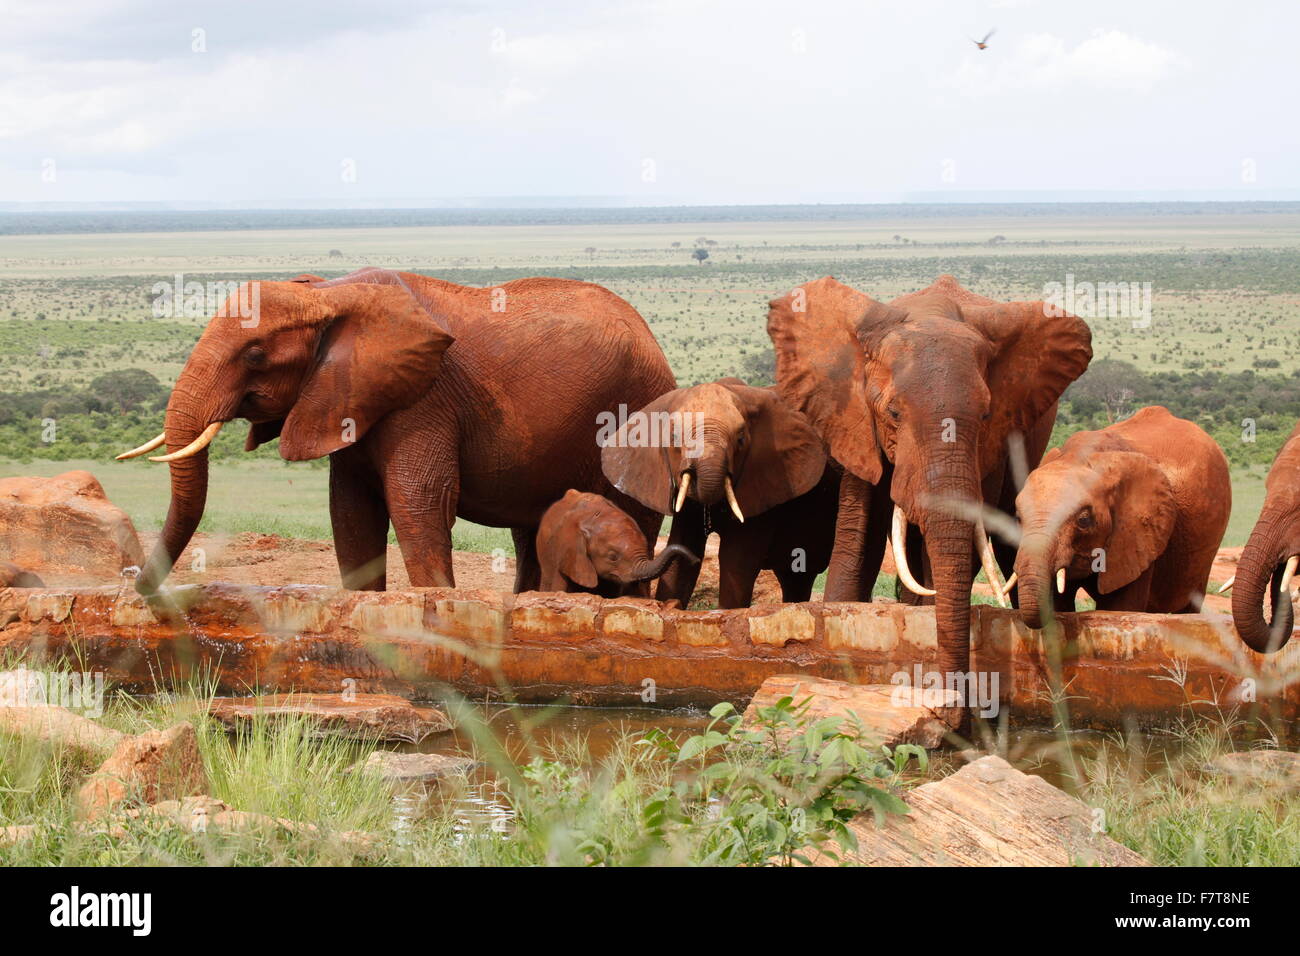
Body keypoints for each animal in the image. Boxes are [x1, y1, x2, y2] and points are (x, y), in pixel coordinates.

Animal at [116, 268, 677, 596]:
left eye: (254, 355)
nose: (133, 581)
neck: (329, 293)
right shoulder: (344, 395)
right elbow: (350, 512)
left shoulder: (423, 396)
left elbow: (418, 502)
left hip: (639, 408)